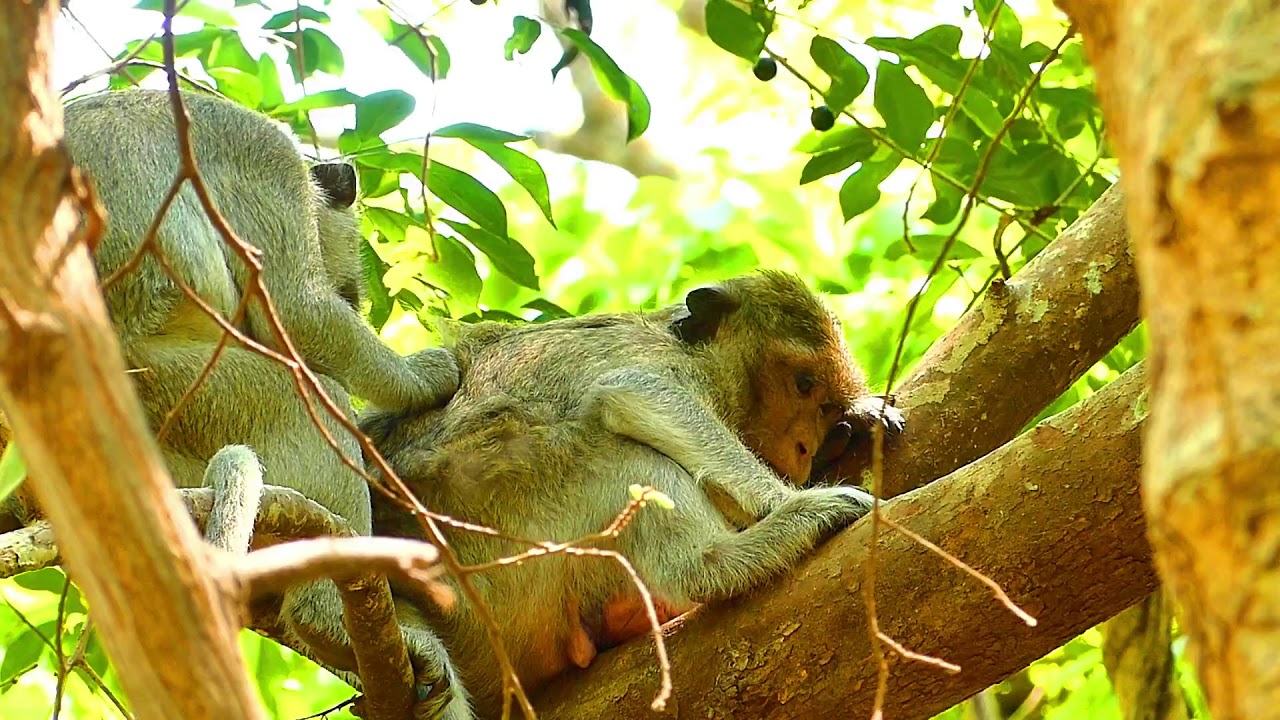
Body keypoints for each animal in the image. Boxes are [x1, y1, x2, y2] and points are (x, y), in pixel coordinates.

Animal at [62, 89, 466, 720]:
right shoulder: (264, 158)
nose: (353, 297)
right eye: (348, 293)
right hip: (176, 384)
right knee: (311, 399)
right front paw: (421, 379)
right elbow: (300, 314)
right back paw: (325, 620)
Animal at [360, 270, 904, 718]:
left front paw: (858, 426)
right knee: (614, 450)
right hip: (494, 531)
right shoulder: (651, 358)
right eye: (803, 384)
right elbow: (636, 391)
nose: (806, 447)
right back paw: (723, 559)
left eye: (828, 408)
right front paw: (785, 501)